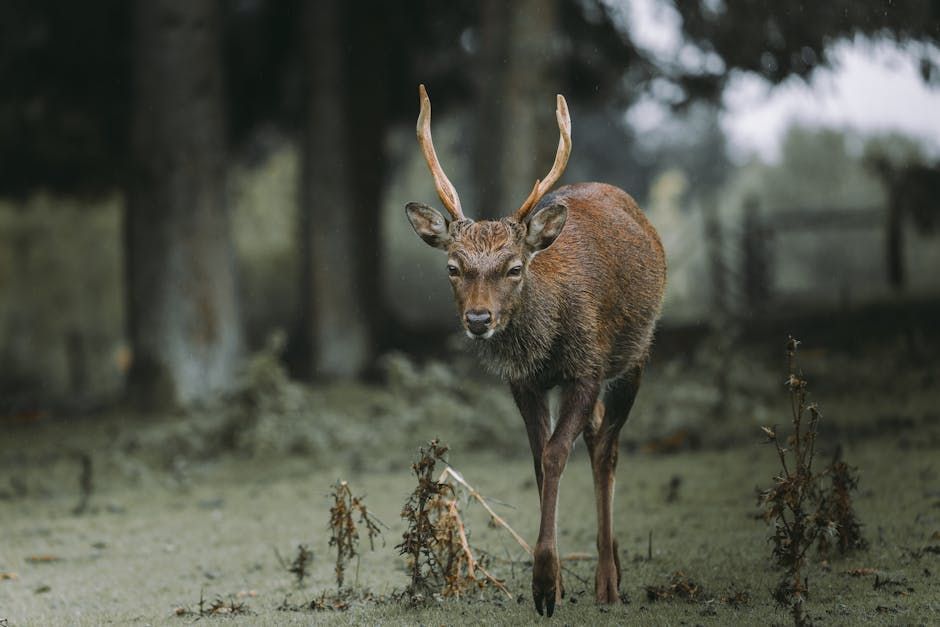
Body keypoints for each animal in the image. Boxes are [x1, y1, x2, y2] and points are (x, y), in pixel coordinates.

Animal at [406, 84, 668, 620]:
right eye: (452, 267)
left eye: (513, 267)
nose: (479, 320)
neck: (546, 345)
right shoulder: (523, 382)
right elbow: (536, 458)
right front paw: (558, 584)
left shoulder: (587, 367)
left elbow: (553, 456)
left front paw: (546, 584)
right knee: (594, 433)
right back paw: (609, 567)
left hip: (635, 354)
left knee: (607, 448)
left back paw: (609, 582)